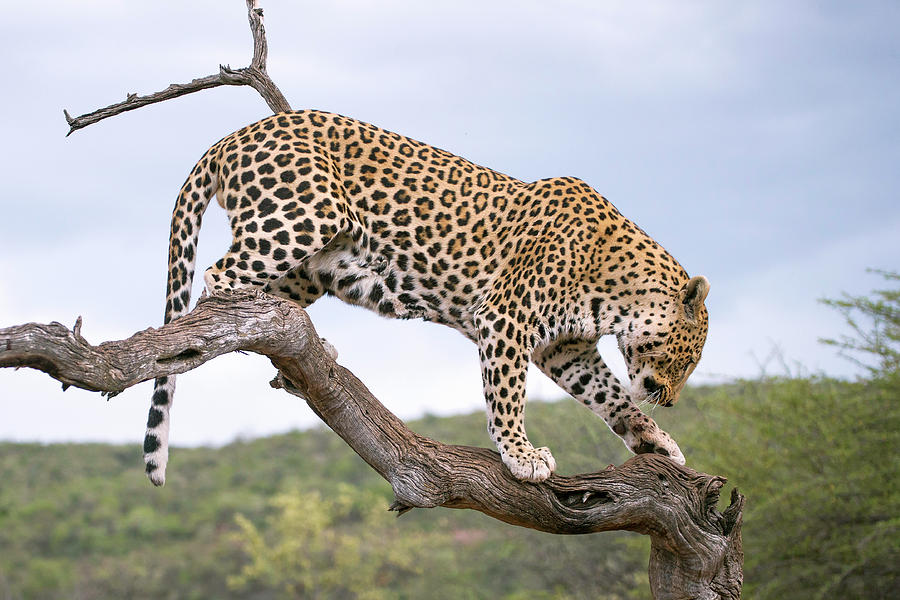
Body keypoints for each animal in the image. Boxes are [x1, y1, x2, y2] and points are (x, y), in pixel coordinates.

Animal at [142, 110, 710, 486]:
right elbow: (507, 396)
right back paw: (251, 314)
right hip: (301, 219)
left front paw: (654, 439)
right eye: (686, 358)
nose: (672, 399)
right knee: (218, 279)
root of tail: (235, 134)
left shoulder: (564, 348)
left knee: (274, 301)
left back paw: (314, 346)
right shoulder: (506, 318)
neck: (615, 294)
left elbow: (610, 396)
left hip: (312, 263)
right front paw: (521, 456)